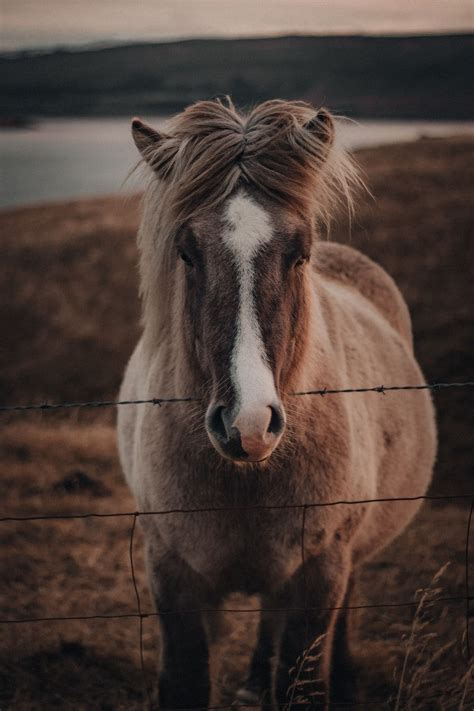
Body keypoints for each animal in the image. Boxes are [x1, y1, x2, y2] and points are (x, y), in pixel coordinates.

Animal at [117, 98, 437, 708]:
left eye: (299, 254)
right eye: (186, 253)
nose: (248, 424)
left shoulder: (319, 575)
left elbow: (300, 681)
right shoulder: (171, 575)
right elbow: (187, 681)